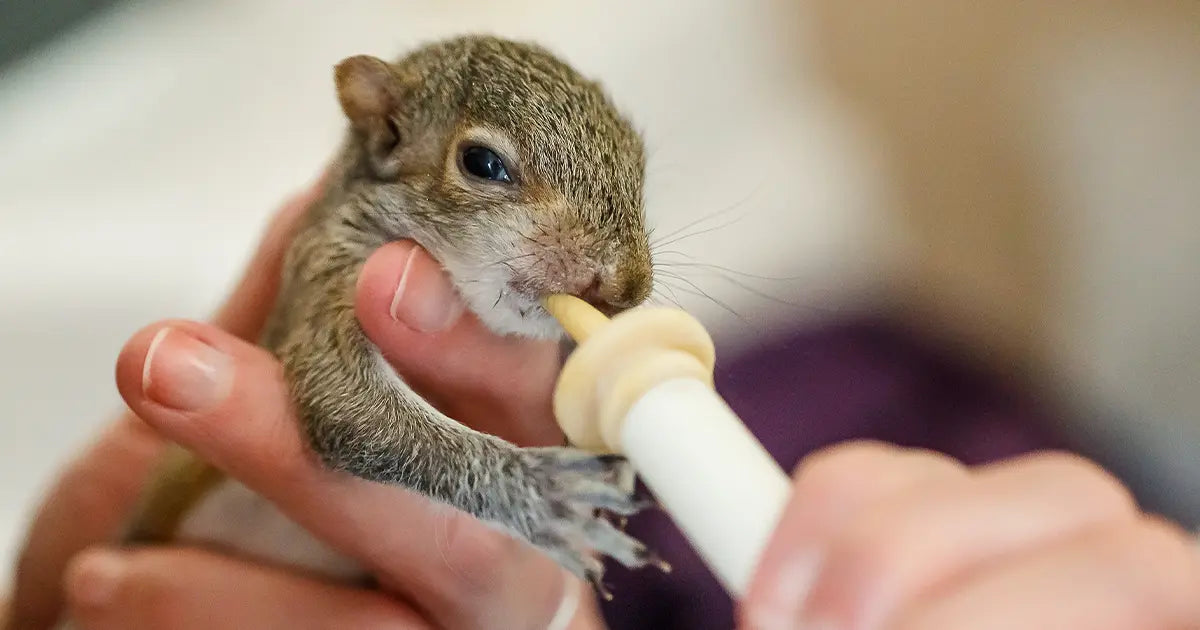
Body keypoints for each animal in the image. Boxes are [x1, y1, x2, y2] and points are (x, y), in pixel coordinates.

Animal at [111, 35, 663, 598]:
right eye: (482, 163)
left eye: (638, 167)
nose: (627, 287)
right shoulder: (330, 270)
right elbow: (346, 403)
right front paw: (538, 492)